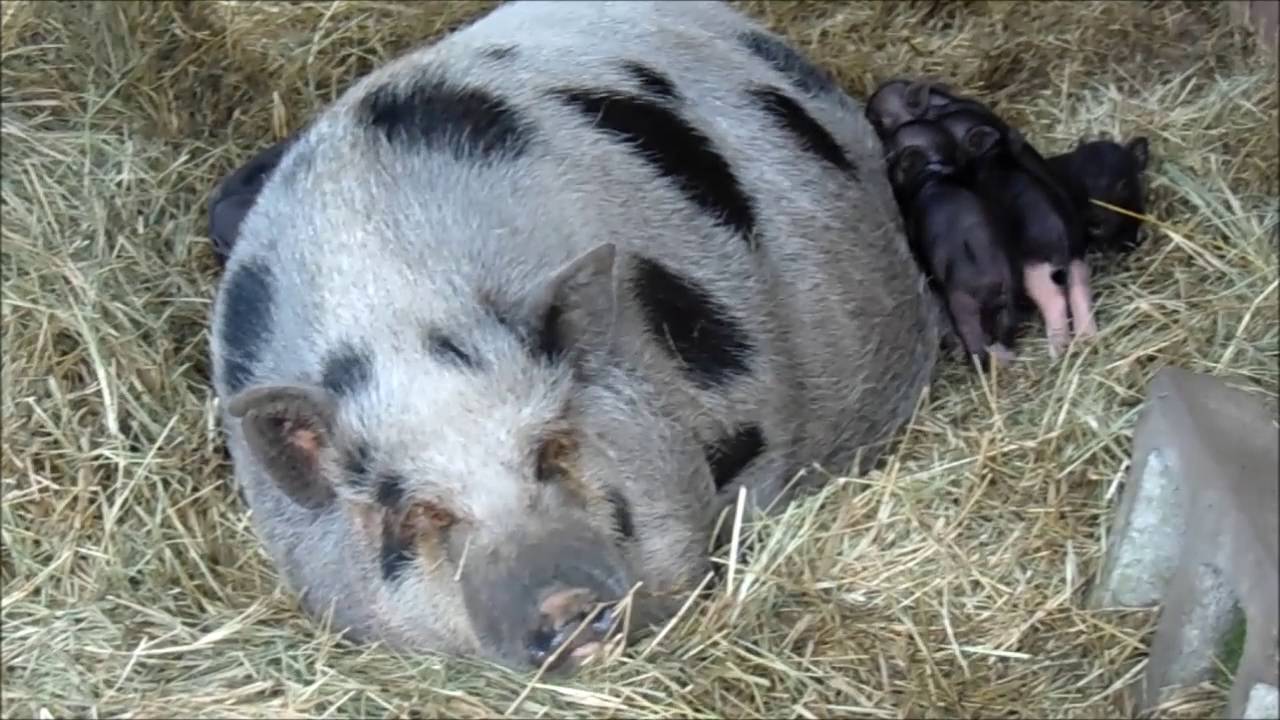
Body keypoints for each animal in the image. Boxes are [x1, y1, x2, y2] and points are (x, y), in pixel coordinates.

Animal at [885, 120, 1019, 368]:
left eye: (890, 155)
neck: (936, 170)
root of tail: (989, 280)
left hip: (963, 305)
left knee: (975, 343)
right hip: (1010, 299)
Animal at [934, 106, 1091, 356]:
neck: (994, 157)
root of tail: (1063, 241)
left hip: (1035, 271)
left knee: (1054, 300)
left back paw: (1058, 351)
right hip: (1077, 260)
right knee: (1080, 291)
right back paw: (1089, 340)